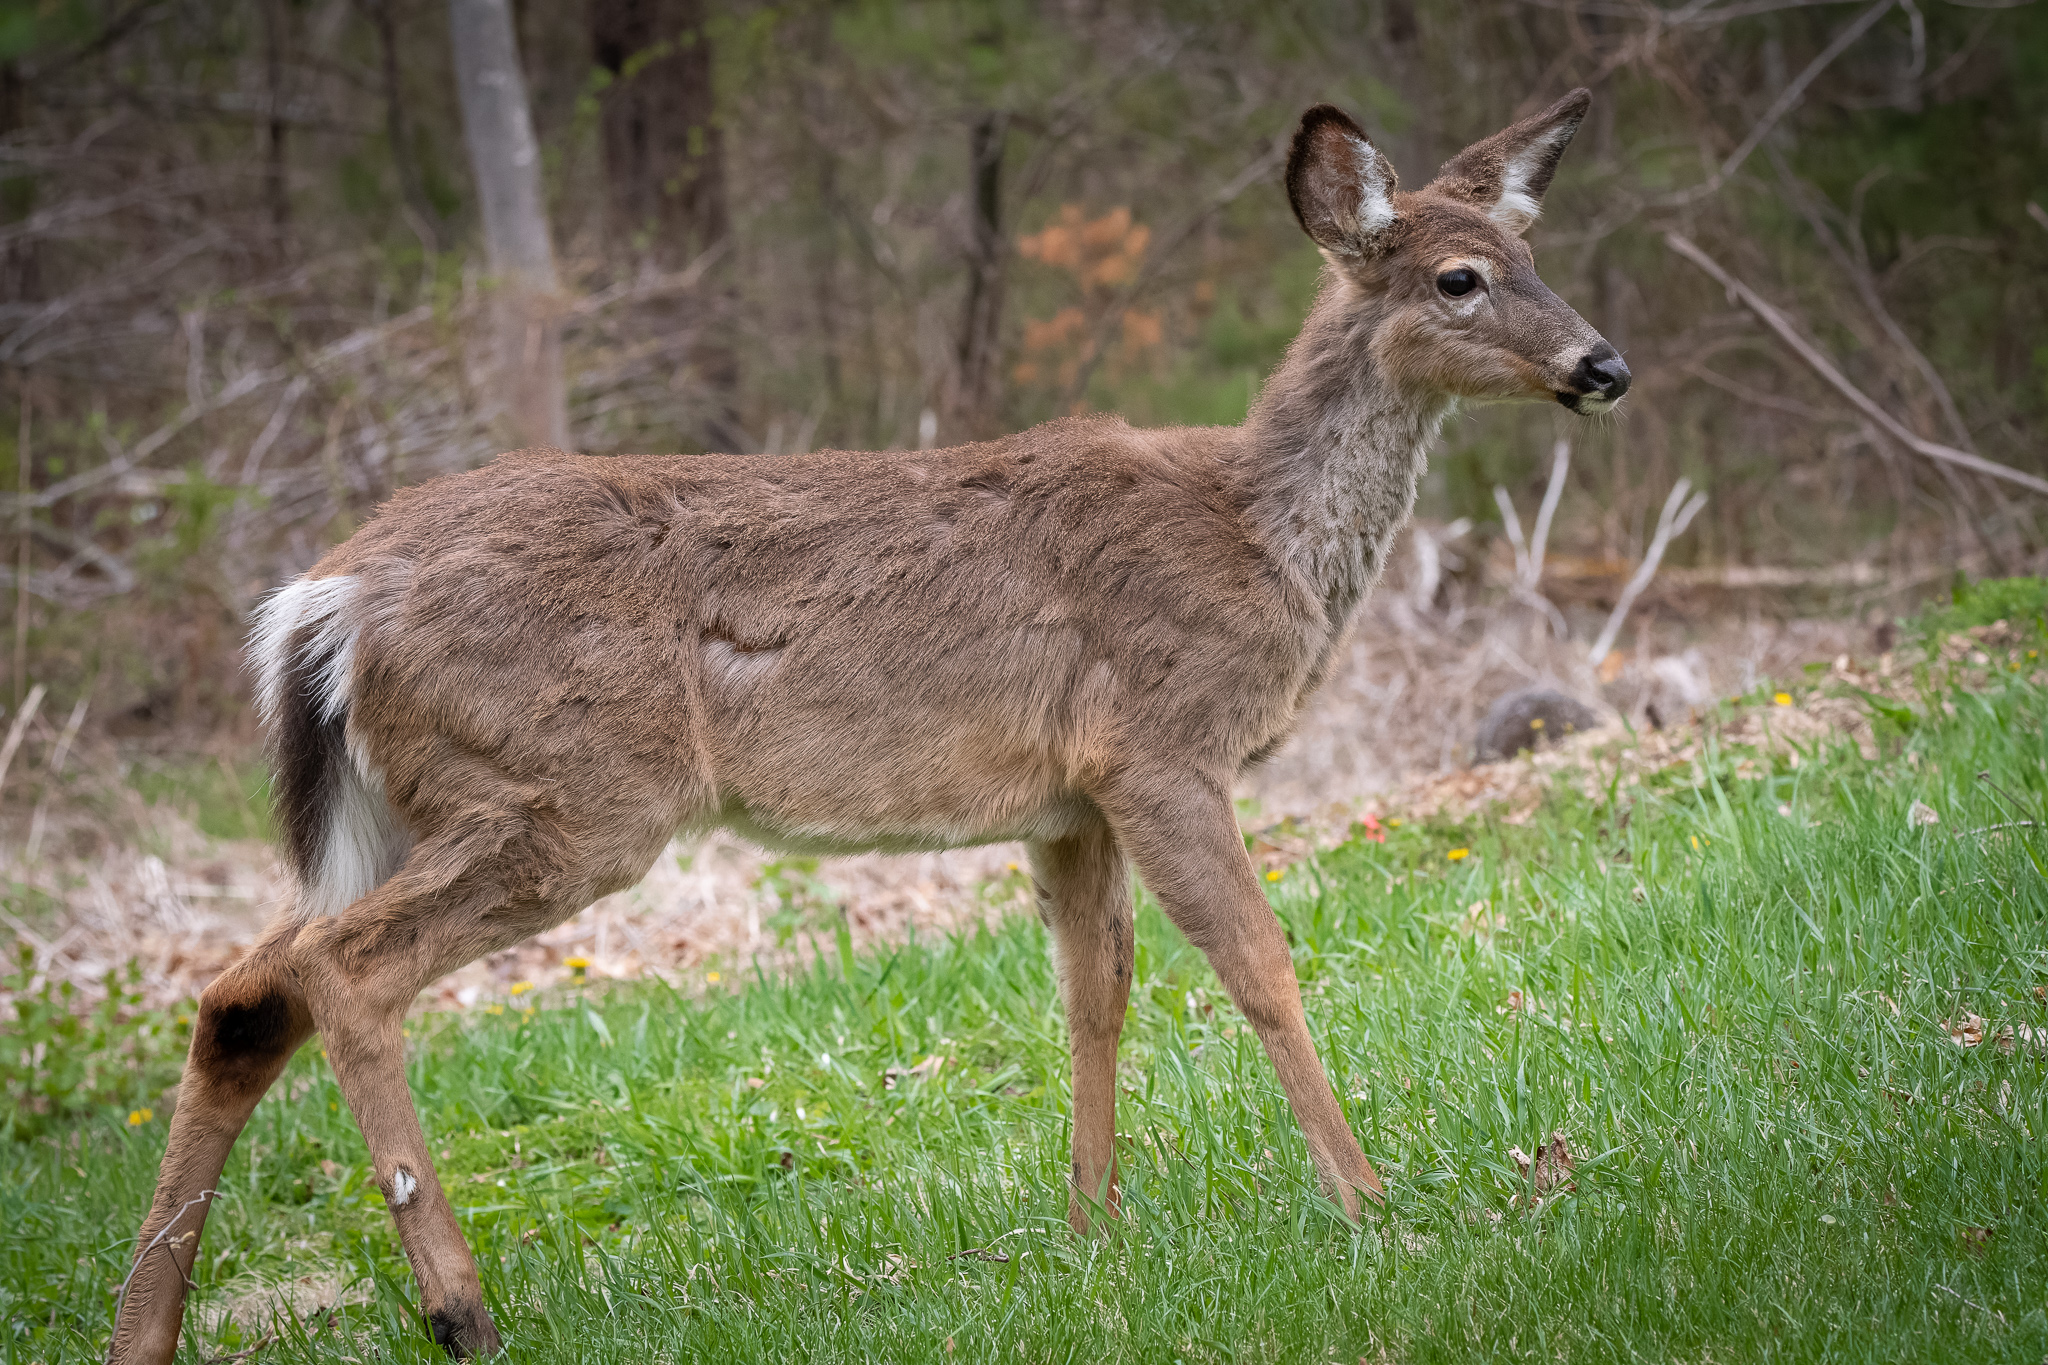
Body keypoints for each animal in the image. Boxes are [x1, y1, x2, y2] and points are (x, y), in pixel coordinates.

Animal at [108, 89, 1628, 1363]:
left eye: (1530, 250)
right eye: (1456, 278)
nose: (1602, 362)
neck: (1255, 538)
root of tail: (324, 599)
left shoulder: (1069, 797)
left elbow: (1094, 992)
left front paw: (1096, 1227)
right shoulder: (1160, 743)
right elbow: (1258, 964)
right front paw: (1370, 1201)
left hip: (412, 806)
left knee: (243, 992)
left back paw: (148, 1330)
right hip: (566, 790)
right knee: (343, 967)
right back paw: (459, 1306)